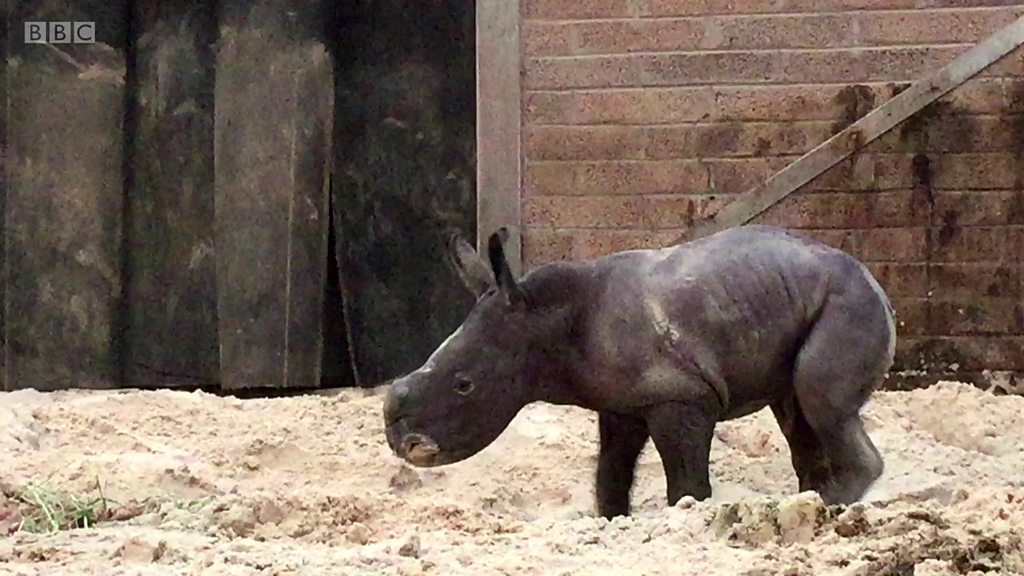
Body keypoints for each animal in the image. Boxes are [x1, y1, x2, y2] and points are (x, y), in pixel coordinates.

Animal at [383, 224, 894, 519]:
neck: (541, 318)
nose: (403, 442)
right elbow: (610, 472)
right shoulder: (620, 403)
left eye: (464, 385)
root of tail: (874, 279)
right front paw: (611, 522)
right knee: (795, 412)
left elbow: (685, 482)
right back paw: (806, 504)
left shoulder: (682, 395)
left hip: (849, 303)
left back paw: (832, 505)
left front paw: (689, 514)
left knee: (819, 401)